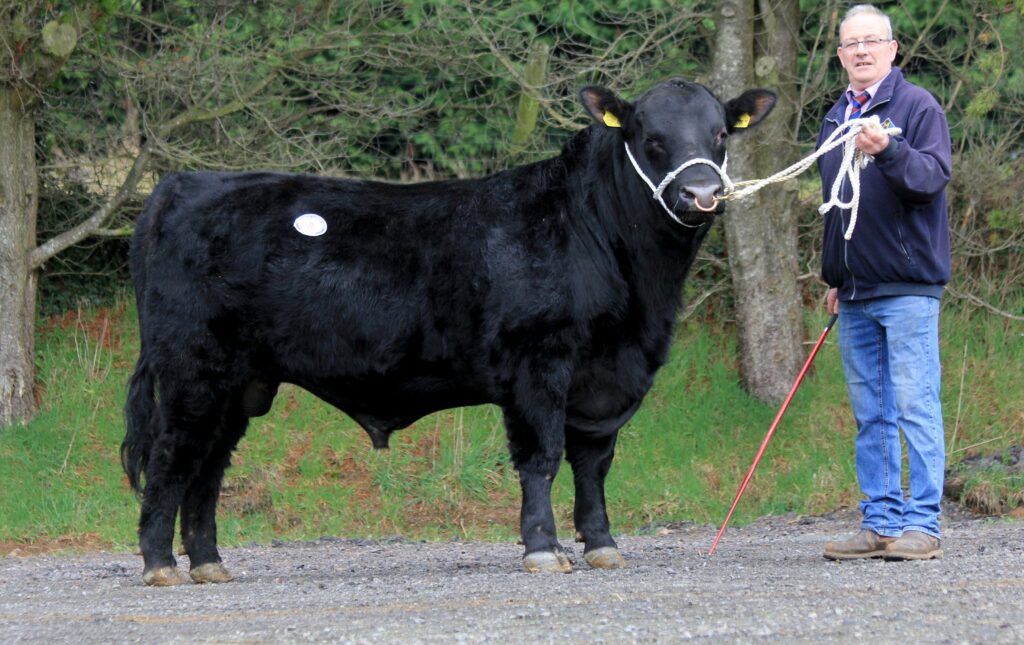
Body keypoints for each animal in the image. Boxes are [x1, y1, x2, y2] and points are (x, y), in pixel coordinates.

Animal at [122, 78, 776, 586]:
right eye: (651, 137)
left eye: (720, 135)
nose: (702, 193)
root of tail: (181, 184)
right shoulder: (539, 362)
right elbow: (542, 456)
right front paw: (544, 549)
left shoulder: (607, 378)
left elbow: (593, 464)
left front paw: (602, 545)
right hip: (192, 367)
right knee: (172, 455)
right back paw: (159, 564)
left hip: (240, 383)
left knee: (207, 467)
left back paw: (208, 563)